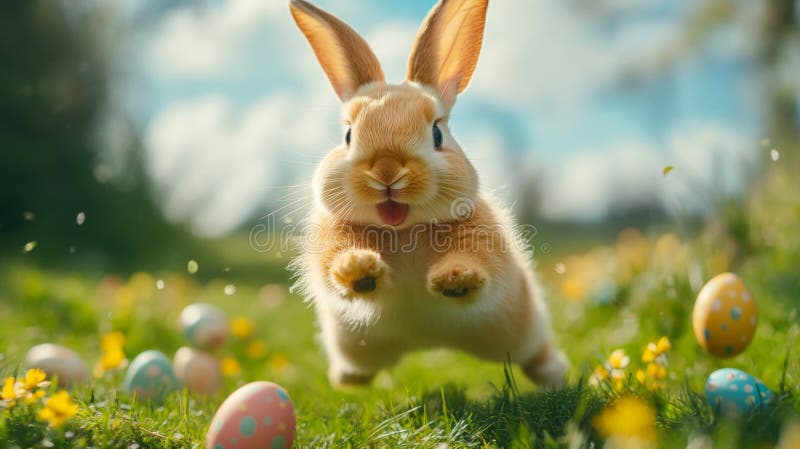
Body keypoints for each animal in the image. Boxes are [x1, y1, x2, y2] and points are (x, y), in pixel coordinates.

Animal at [288, 0, 568, 388]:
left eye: (437, 134)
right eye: (348, 136)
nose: (387, 170)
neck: (402, 229)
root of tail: (425, 343)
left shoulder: (483, 239)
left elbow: (476, 259)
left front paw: (455, 280)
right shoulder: (332, 236)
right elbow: (335, 259)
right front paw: (359, 270)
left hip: (516, 330)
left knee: (533, 354)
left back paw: (555, 373)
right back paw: (345, 377)